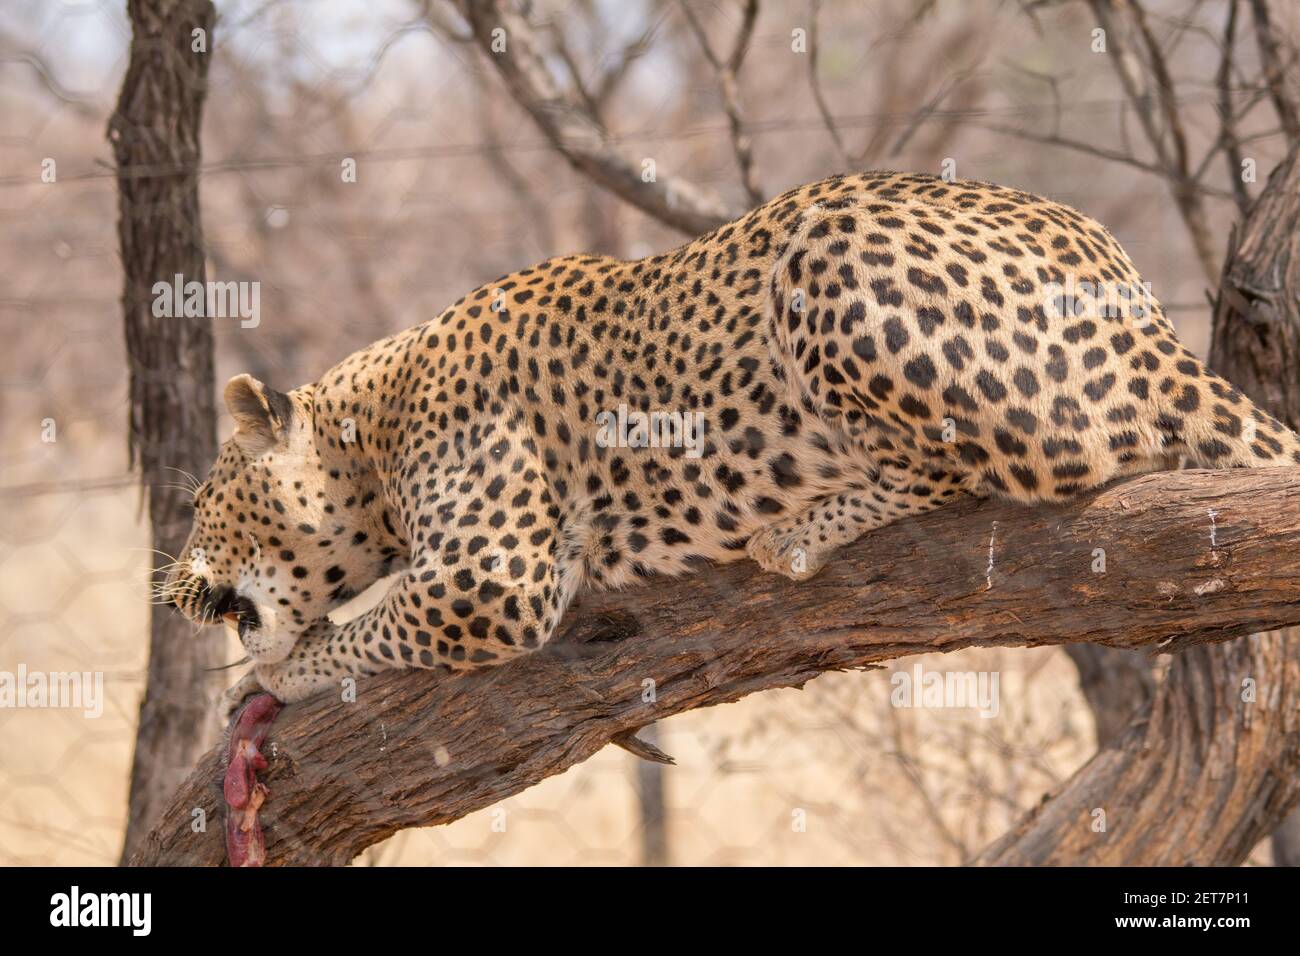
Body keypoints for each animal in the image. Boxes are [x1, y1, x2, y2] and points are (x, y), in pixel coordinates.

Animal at [164, 170, 1300, 721]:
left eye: (203, 499)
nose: (170, 589)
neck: (375, 429)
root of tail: (1141, 304)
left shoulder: (495, 576)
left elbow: (359, 628)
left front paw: (270, 679)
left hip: (823, 255)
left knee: (1002, 465)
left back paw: (799, 529)